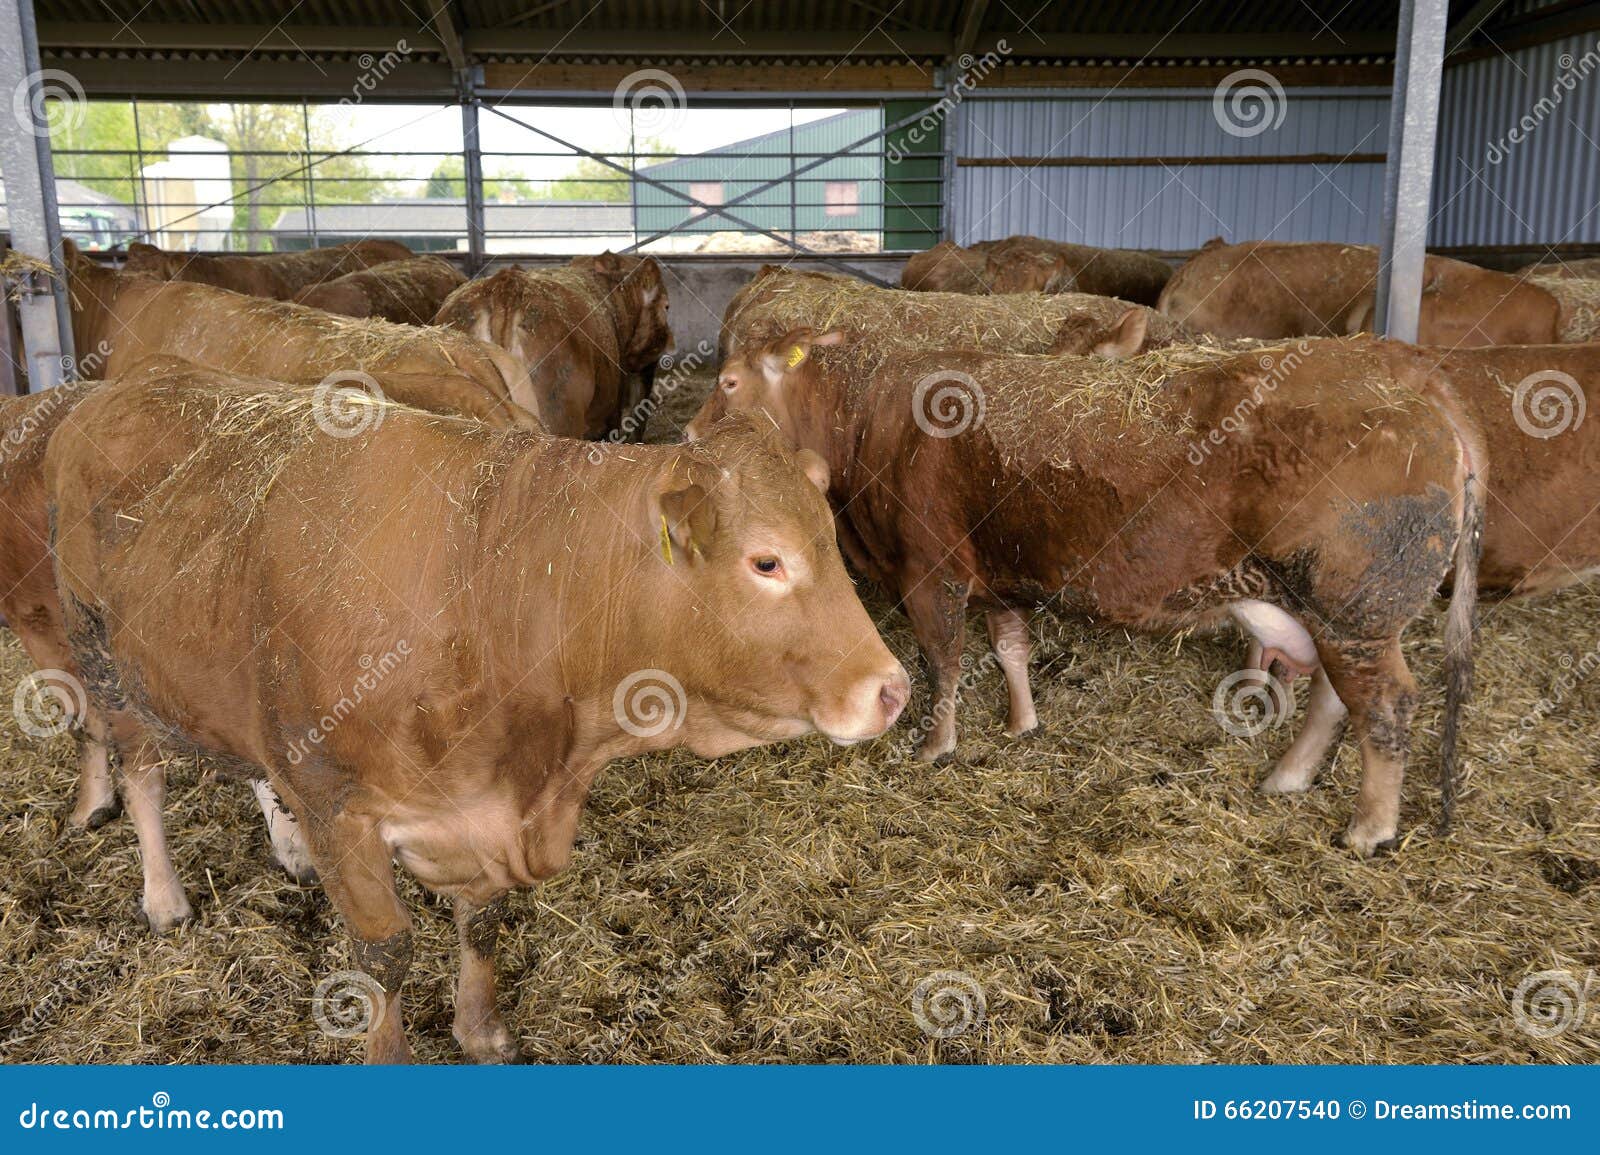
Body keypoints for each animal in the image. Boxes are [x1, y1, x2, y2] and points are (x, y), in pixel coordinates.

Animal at [46, 356, 909, 1062]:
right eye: (766, 561)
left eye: (830, 539)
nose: (892, 688)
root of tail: (123, 387)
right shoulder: (338, 801)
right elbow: (385, 955)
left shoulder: (480, 807)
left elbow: (481, 922)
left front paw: (480, 1027)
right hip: (105, 660)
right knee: (142, 772)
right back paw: (164, 897)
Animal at [688, 331, 1482, 857]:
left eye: (727, 383)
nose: (691, 439)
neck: (869, 414)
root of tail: (1408, 388)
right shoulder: (998, 573)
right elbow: (1009, 647)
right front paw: (1021, 722)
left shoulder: (928, 568)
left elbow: (942, 661)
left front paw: (936, 746)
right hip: (1321, 608)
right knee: (1336, 698)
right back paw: (1288, 777)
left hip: (1356, 607)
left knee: (1385, 704)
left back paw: (1369, 828)